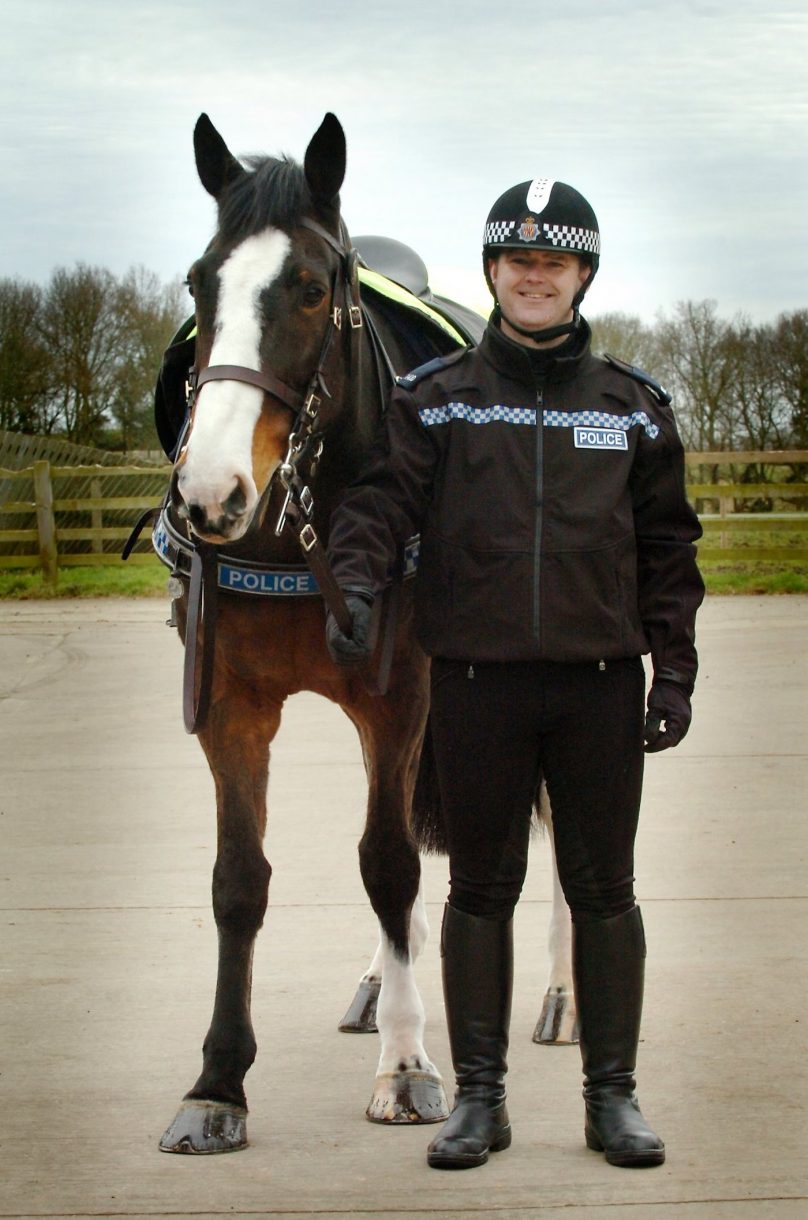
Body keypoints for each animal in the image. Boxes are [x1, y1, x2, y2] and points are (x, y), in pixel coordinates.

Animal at [149, 112, 577, 1156]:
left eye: (310, 287)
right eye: (199, 284)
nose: (209, 493)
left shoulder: (399, 697)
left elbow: (387, 863)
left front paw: (411, 1066)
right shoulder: (233, 707)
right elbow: (239, 881)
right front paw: (218, 1082)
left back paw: (555, 996)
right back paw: (384, 982)